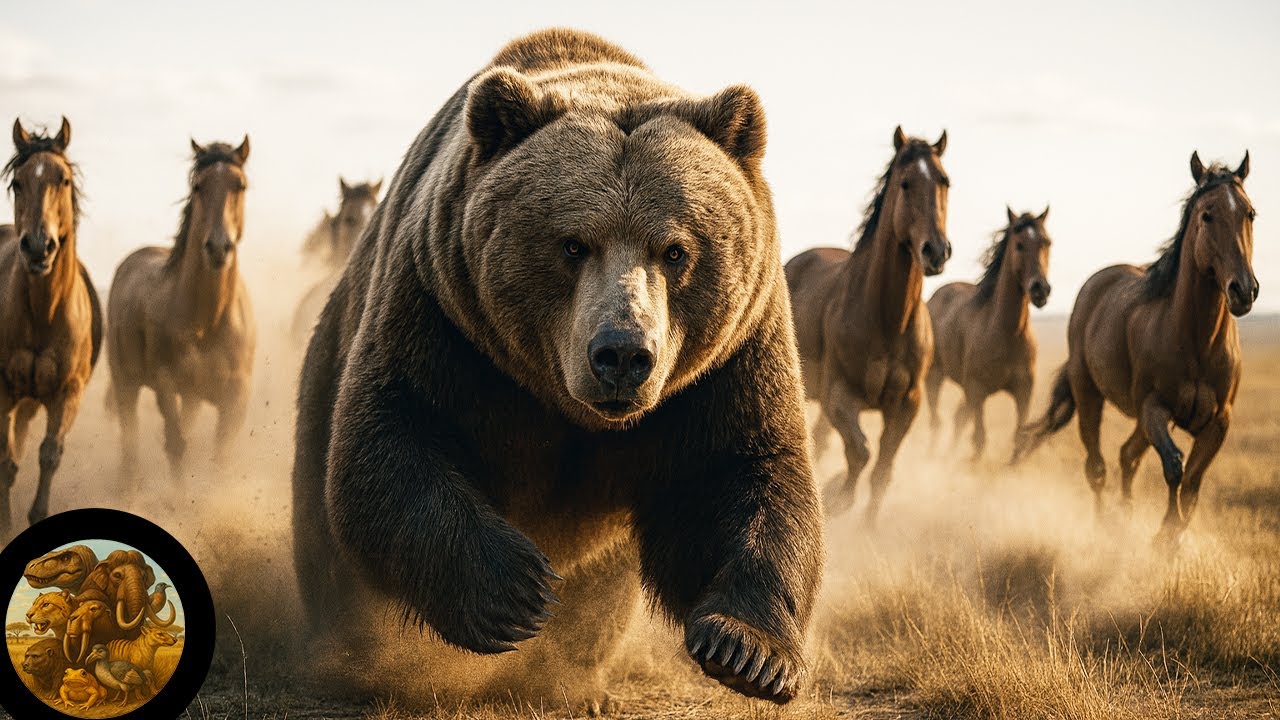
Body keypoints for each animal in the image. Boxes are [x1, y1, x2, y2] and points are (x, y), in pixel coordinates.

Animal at [291, 28, 823, 709]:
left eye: (676, 249)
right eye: (573, 244)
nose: (622, 353)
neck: (573, 409)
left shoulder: (723, 365)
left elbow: (740, 475)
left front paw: (746, 650)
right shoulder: (445, 320)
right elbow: (392, 443)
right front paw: (516, 593)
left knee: (602, 594)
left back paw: (572, 680)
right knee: (327, 537)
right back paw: (345, 655)